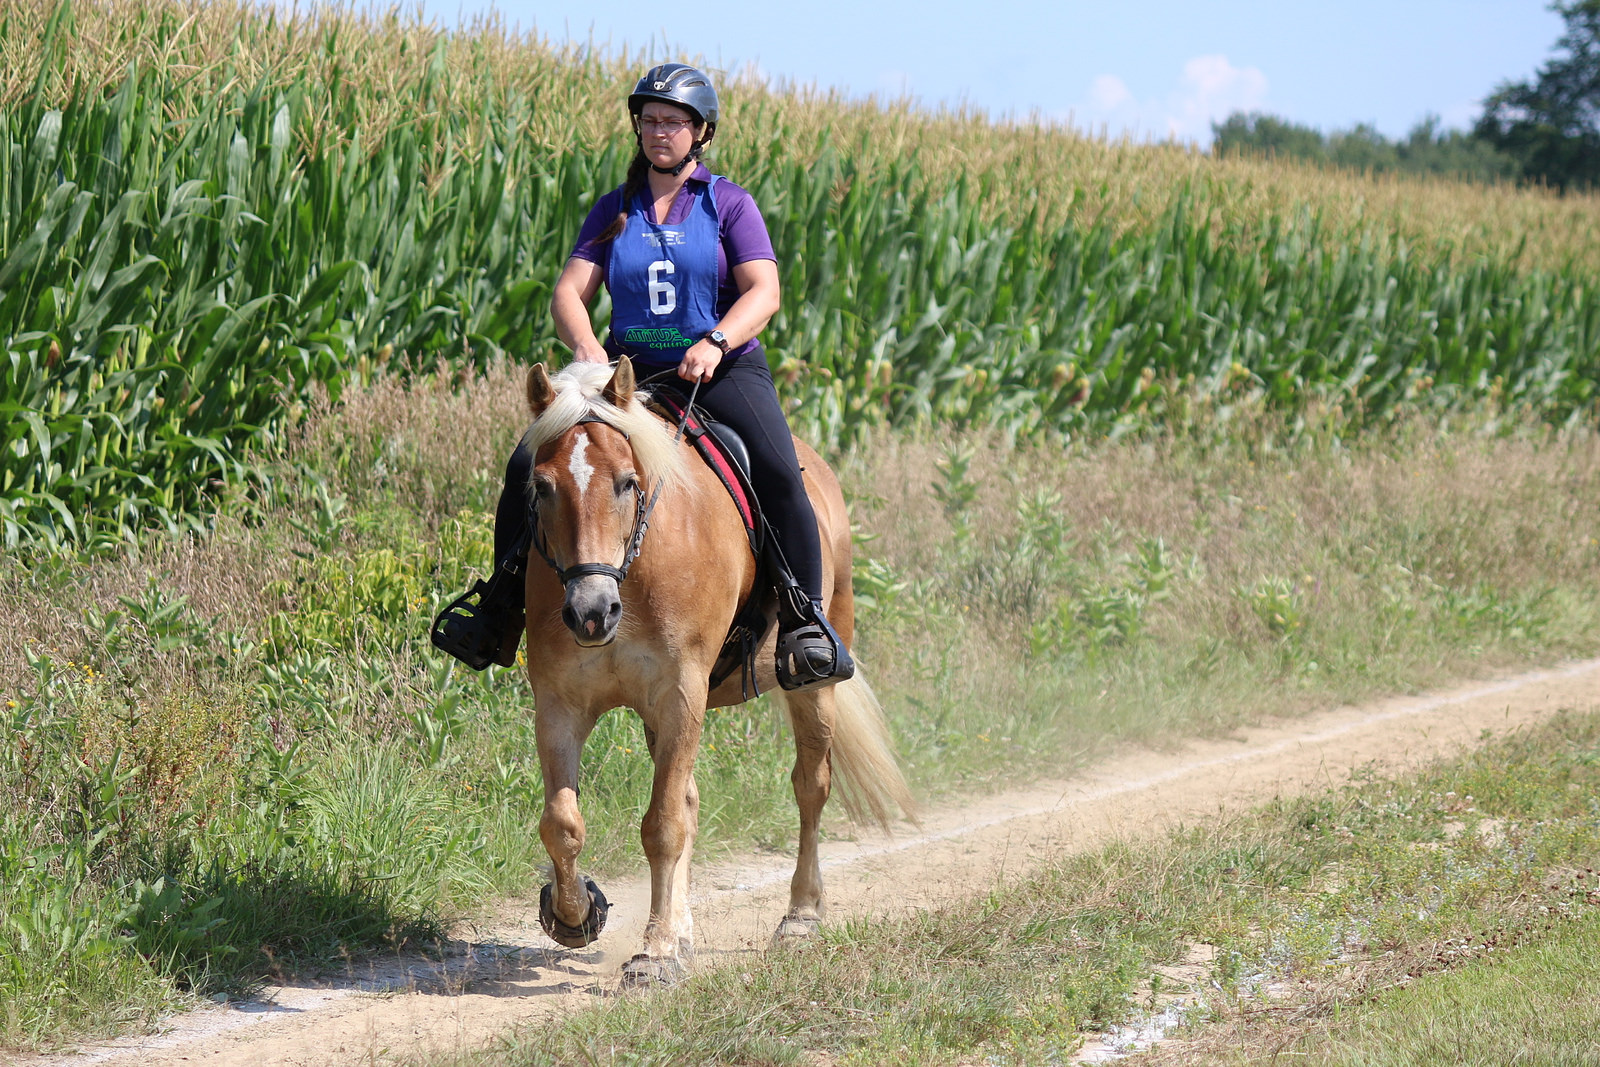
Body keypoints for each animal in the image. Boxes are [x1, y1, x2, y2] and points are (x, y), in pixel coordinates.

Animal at [516, 356, 915, 987]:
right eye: (543, 486)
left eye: (626, 482)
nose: (591, 612)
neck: (636, 568)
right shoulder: (561, 702)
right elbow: (563, 822)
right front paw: (576, 915)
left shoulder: (681, 692)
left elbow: (662, 826)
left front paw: (653, 955)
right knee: (690, 799)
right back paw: (682, 931)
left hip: (816, 682)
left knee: (811, 787)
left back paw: (800, 917)